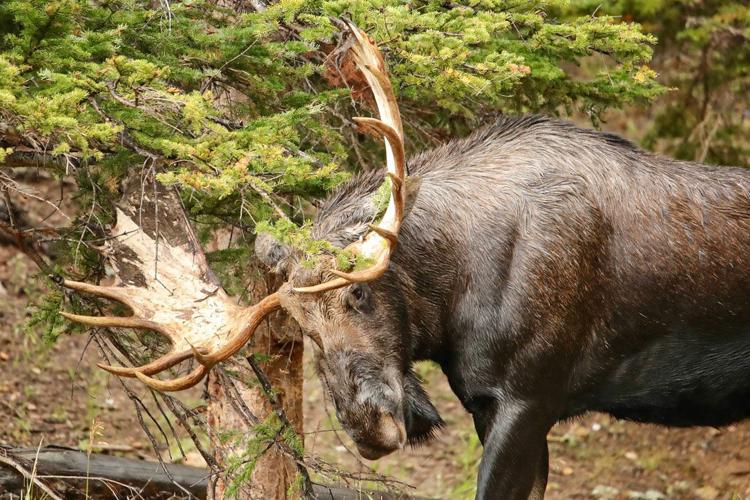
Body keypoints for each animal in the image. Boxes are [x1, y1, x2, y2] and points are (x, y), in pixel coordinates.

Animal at [60, 22, 750, 499]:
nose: (370, 428)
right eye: (304, 332)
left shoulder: (531, 397)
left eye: (359, 292)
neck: (455, 306)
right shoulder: (488, 404)